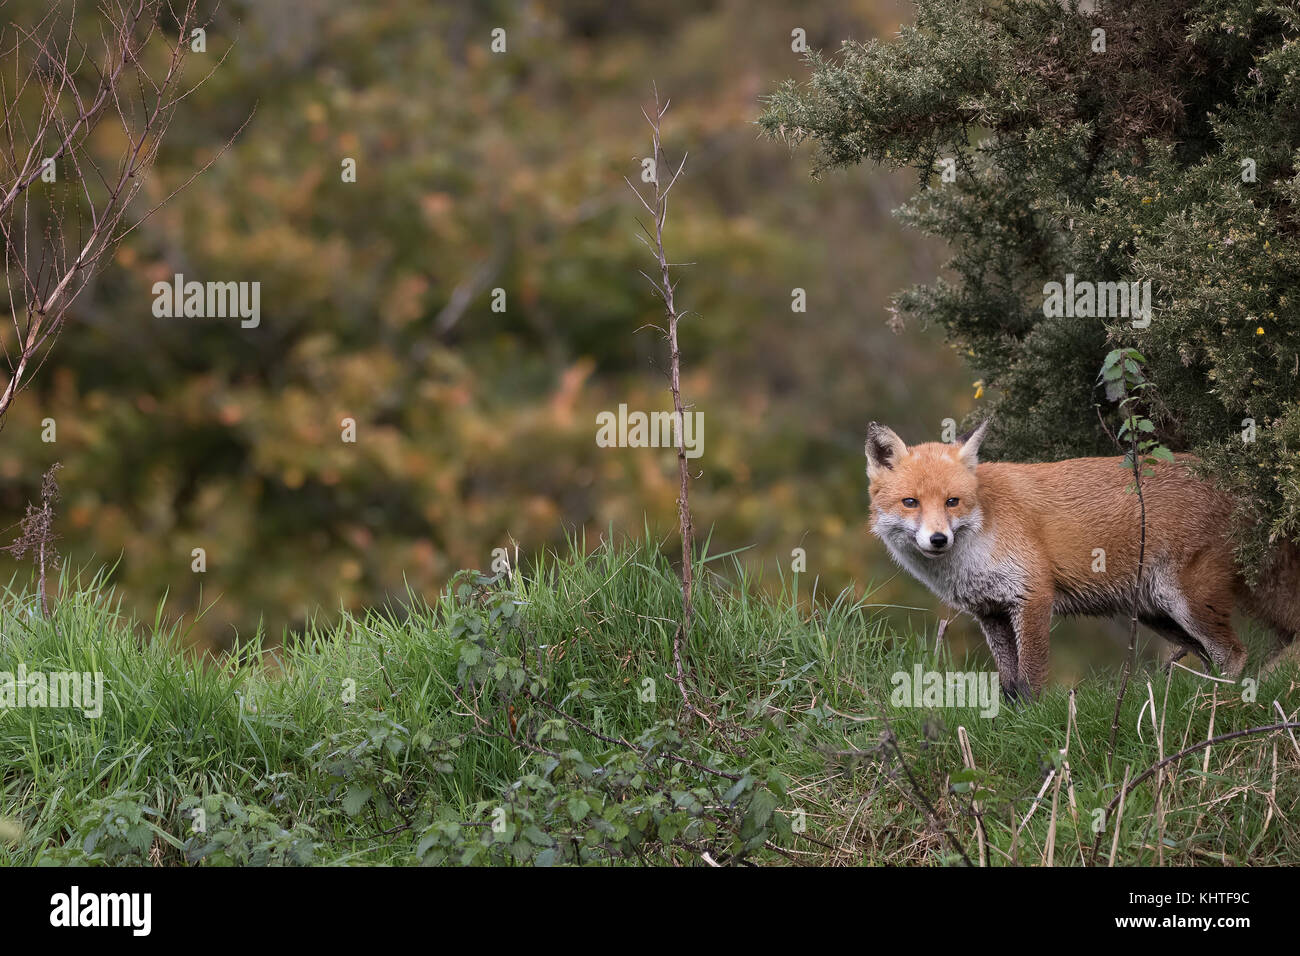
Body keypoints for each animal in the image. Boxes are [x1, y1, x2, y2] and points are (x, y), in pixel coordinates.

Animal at [865, 419, 1300, 699]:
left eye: (952, 501)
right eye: (911, 502)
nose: (938, 539)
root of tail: (1233, 480)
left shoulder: (1032, 596)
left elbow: (1030, 680)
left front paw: (1033, 723)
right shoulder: (990, 612)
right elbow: (1008, 684)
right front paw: (1011, 722)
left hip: (1187, 600)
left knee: (1234, 654)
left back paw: (1215, 703)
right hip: (1161, 613)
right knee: (1214, 656)